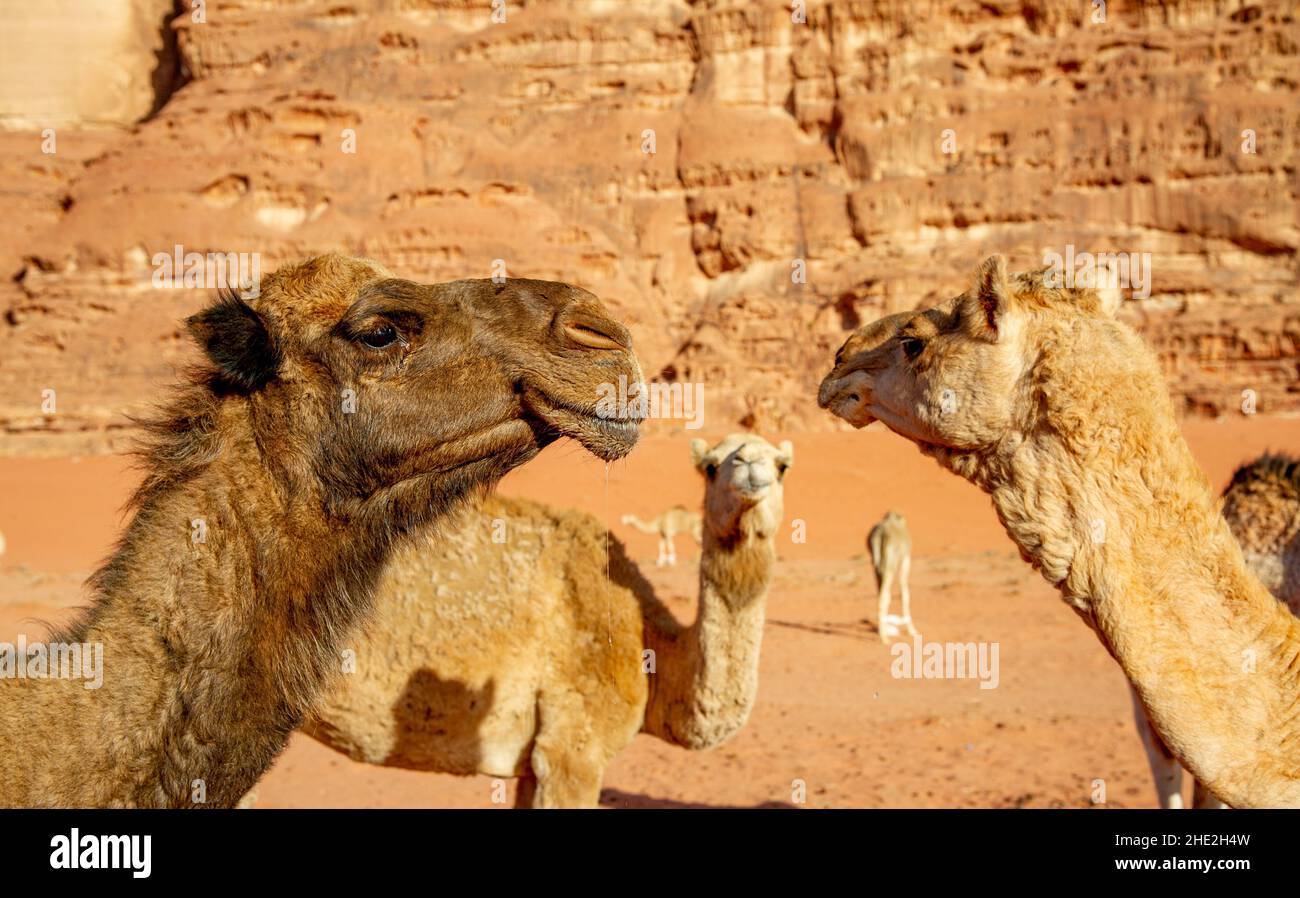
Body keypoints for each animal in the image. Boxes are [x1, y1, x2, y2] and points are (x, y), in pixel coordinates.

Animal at [303, 434, 792, 808]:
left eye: (782, 465)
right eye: (710, 467)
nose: (751, 467)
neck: (648, 645)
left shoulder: (533, 764)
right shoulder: (573, 749)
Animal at [868, 510, 915, 643]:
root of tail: (879, 535)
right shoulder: (905, 560)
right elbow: (905, 594)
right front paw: (912, 631)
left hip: (877, 566)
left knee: (883, 595)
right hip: (890, 566)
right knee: (883, 597)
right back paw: (884, 638)